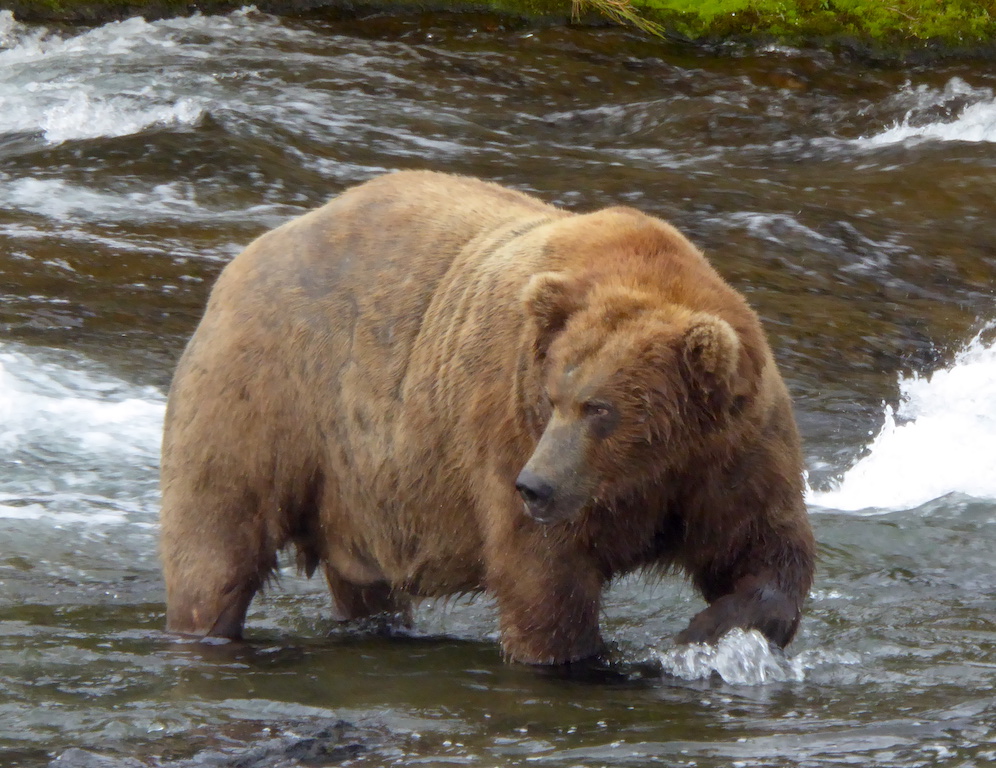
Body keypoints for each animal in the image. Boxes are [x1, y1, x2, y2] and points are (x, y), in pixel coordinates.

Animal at [160, 170, 815, 665]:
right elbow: (543, 584)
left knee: (364, 583)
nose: (536, 486)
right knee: (215, 546)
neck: (645, 476)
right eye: (555, 396)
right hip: (264, 402)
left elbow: (766, 550)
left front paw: (708, 627)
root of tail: (243, 259)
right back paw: (208, 628)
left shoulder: (734, 453)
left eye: (599, 408)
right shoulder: (506, 425)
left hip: (351, 486)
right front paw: (580, 657)